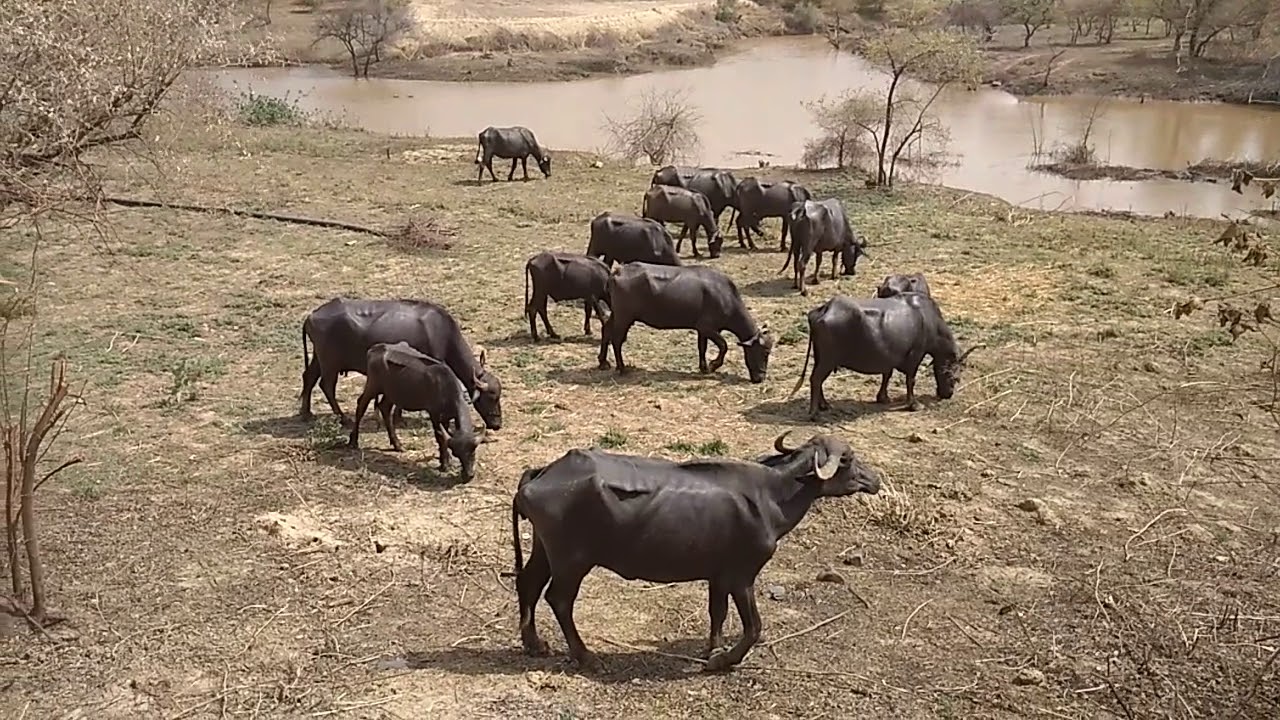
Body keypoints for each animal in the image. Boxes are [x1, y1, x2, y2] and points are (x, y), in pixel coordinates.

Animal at [299, 298, 503, 430]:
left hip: (319, 358)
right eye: (491, 398)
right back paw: (343, 418)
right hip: (330, 363)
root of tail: (311, 315)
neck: (441, 333)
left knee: (308, 378)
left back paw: (306, 413)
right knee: (326, 386)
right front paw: (398, 418)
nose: (497, 424)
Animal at [347, 342, 485, 482]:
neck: (447, 388)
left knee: (384, 408)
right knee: (361, 406)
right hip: (373, 386)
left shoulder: (448, 417)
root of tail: (376, 348)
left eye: (473, 450)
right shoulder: (434, 414)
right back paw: (353, 441)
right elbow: (440, 437)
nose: (468, 476)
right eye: (457, 453)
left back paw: (398, 445)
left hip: (391, 393)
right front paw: (444, 464)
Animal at [509, 430, 882, 672]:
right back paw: (586, 657)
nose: (875, 479)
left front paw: (712, 648)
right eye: (848, 459)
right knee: (558, 599)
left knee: (528, 583)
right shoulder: (742, 575)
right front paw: (723, 660)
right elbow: (753, 627)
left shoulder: (718, 575)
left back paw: (534, 643)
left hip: (546, 550)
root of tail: (540, 474)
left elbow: (717, 613)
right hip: (572, 561)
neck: (771, 495)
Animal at [598, 262, 775, 383]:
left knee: (606, 330)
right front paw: (713, 365)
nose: (761, 378)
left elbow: (702, 347)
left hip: (617, 315)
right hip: (624, 317)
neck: (726, 296)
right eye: (765, 352)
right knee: (617, 339)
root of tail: (618, 271)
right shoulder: (708, 328)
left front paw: (704, 367)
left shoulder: (701, 329)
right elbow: (724, 345)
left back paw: (603, 362)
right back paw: (621, 367)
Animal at [789, 293, 981, 418]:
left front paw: (883, 397)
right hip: (828, 359)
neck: (928, 320)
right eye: (955, 377)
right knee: (816, 379)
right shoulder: (915, 355)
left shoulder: (889, 358)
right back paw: (814, 412)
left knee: (818, 380)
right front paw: (914, 404)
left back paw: (824, 405)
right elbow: (910, 380)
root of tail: (825, 309)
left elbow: (886, 375)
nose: (948, 394)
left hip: (820, 356)